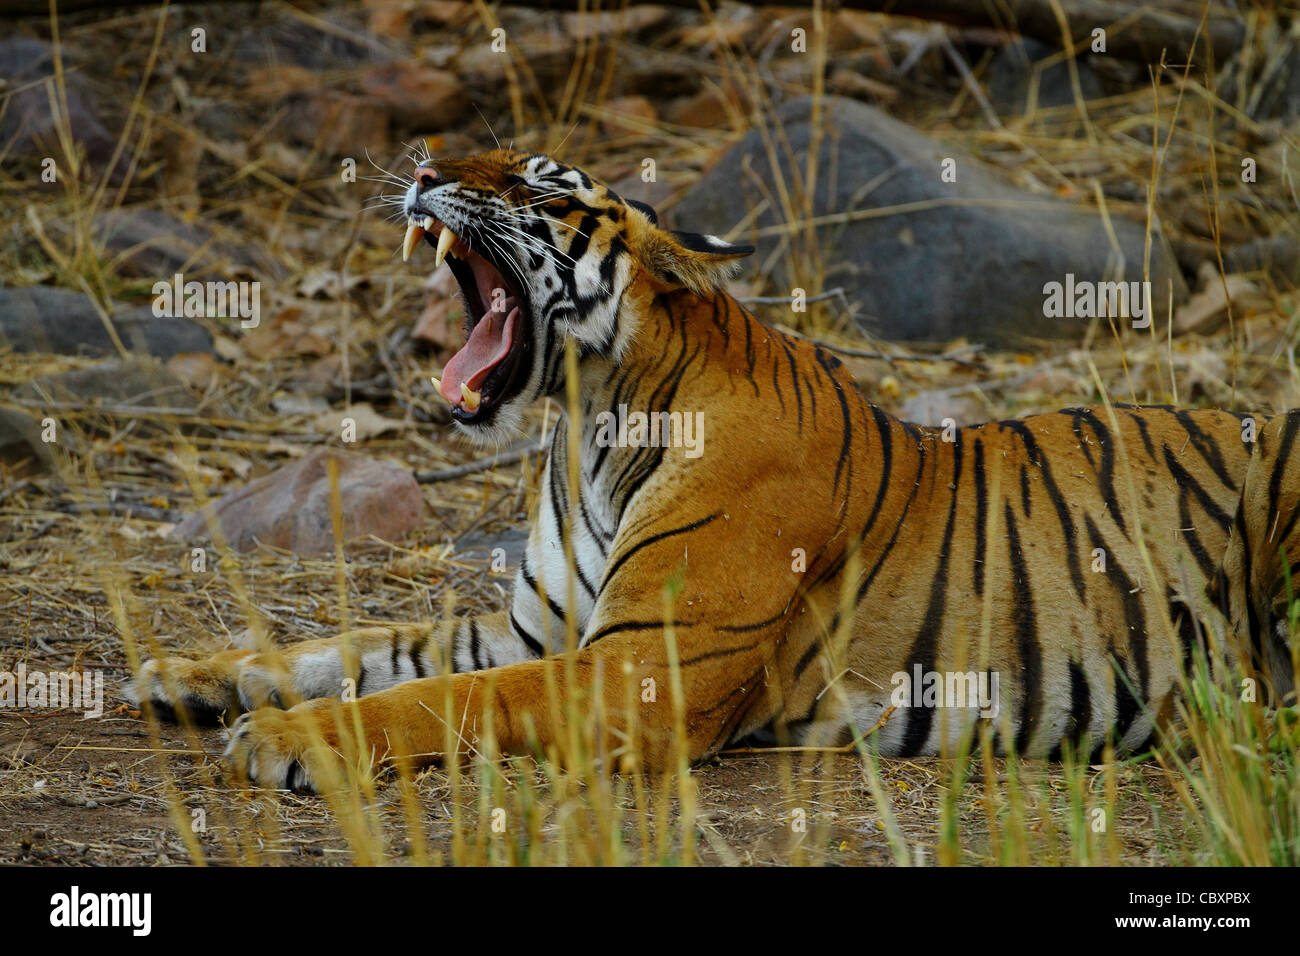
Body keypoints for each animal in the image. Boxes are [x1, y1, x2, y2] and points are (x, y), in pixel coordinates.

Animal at [129, 148, 1300, 793]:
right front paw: (190, 672)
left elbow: (434, 699)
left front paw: (285, 738)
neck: (588, 420)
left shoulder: (637, 665)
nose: (421, 173)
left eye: (540, 188)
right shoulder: (534, 631)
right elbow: (358, 646)